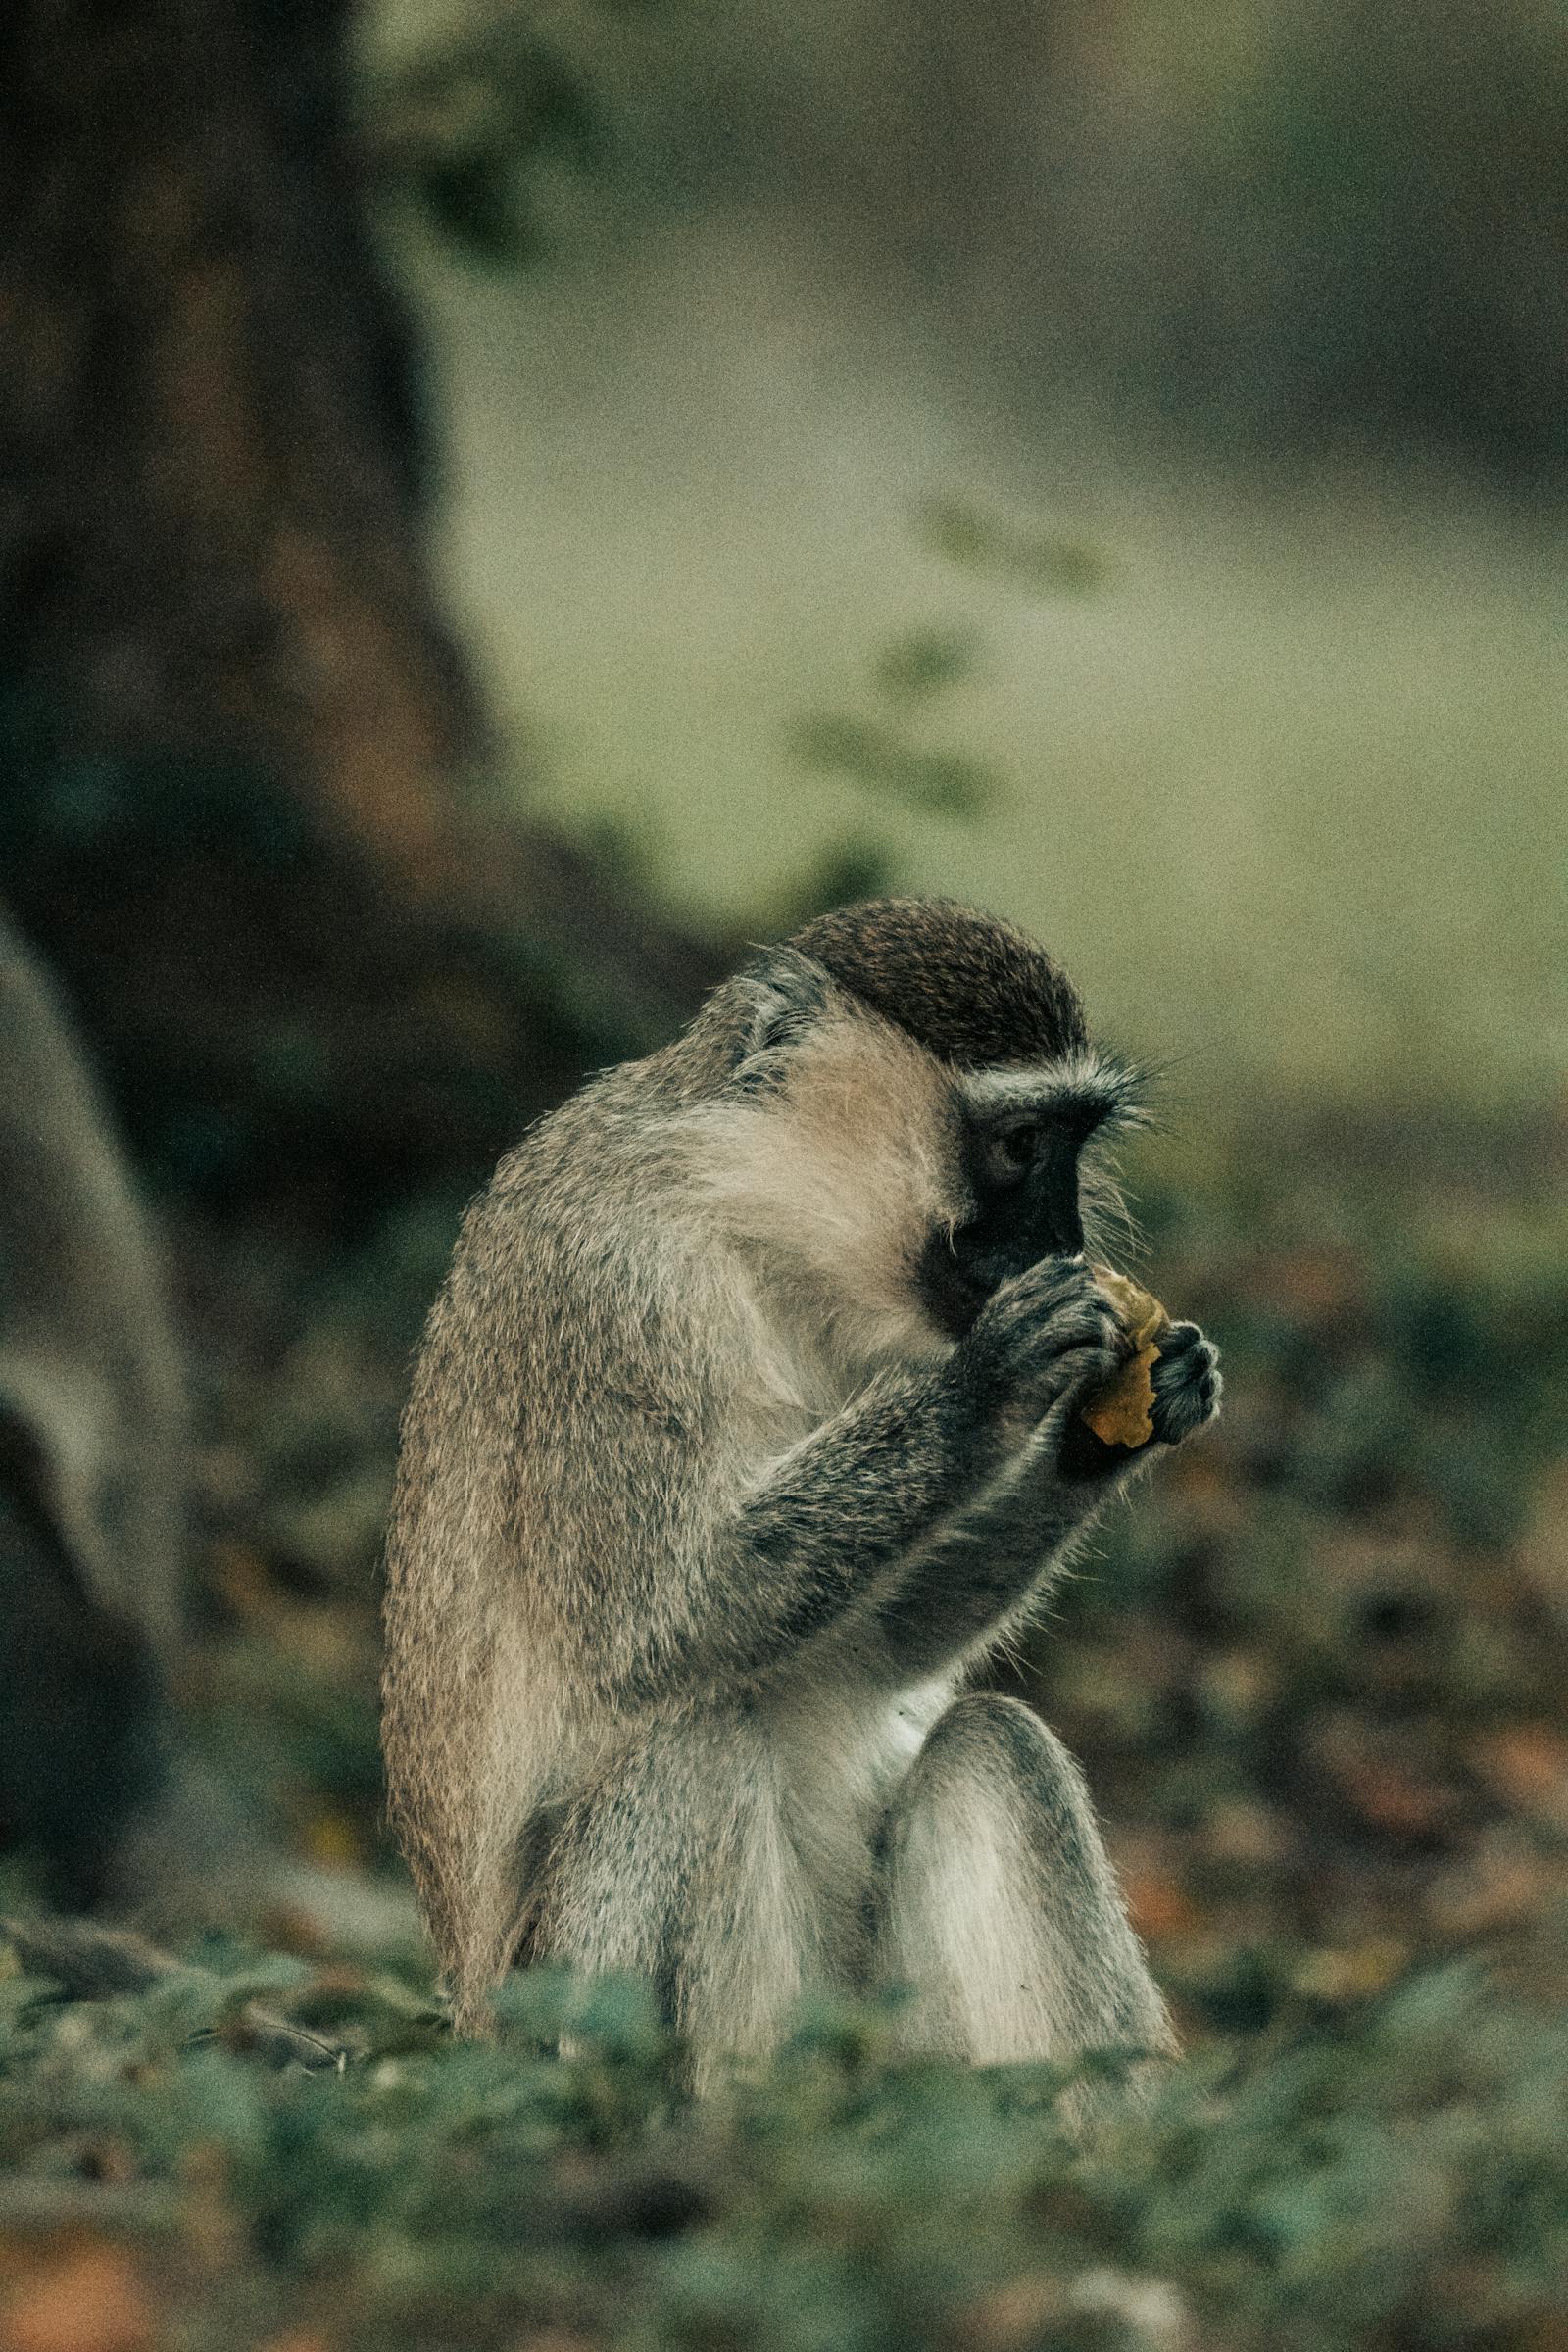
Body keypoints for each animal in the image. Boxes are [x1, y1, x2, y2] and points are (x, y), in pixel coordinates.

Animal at [382, 898, 1221, 2116]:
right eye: (1020, 1144)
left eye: (1076, 1141)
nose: (1063, 1240)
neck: (753, 1222)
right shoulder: (616, 1292)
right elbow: (651, 1632)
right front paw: (985, 1390)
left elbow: (881, 1648)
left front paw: (1125, 1412)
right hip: (562, 2028)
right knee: (690, 1741)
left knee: (994, 1747)